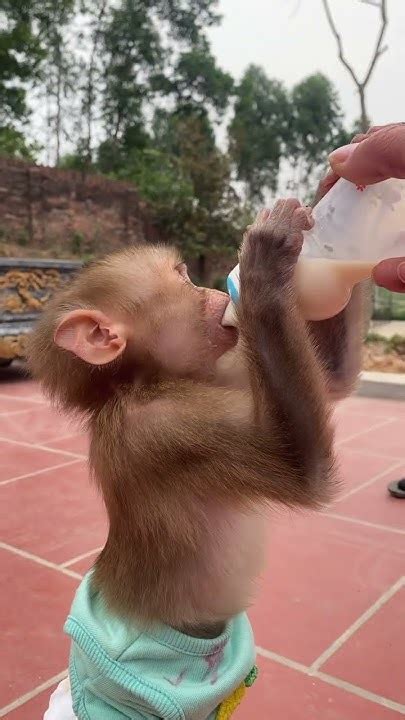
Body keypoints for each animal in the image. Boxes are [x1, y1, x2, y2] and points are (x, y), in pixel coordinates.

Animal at [31, 200, 366, 720]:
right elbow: (298, 466)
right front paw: (265, 264)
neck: (150, 380)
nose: (216, 290)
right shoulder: (160, 425)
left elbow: (330, 380)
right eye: (184, 278)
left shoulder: (222, 371)